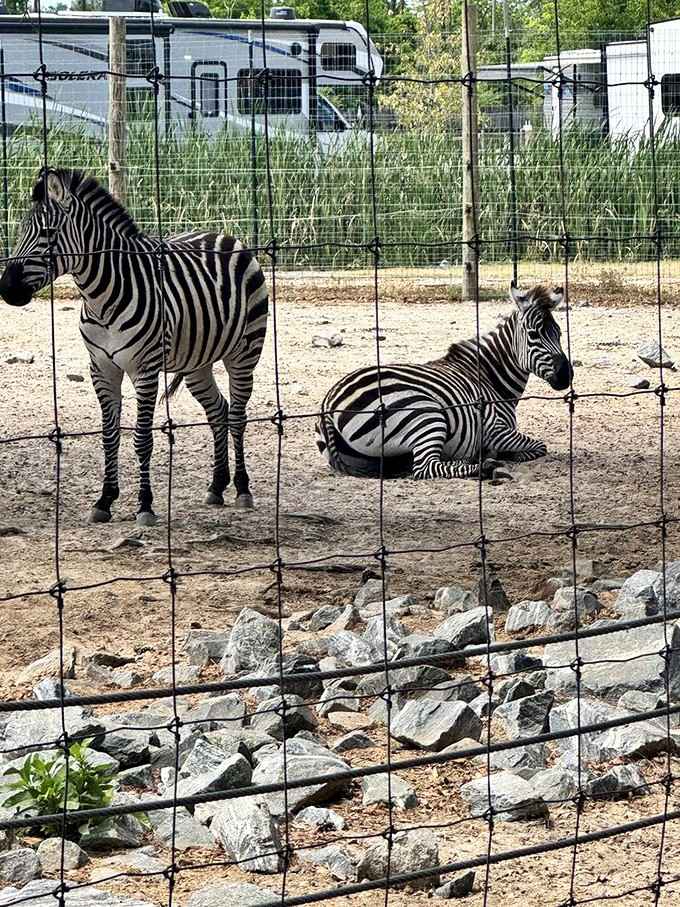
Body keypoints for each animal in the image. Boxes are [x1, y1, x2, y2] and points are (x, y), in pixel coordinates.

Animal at [0, 168, 269, 525]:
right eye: (21, 231)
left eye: (48, 233)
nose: (5, 289)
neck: (101, 300)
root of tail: (224, 236)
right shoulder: (101, 368)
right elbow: (109, 436)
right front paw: (104, 500)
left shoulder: (145, 369)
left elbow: (142, 438)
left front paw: (145, 505)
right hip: (197, 362)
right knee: (218, 411)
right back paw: (216, 485)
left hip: (245, 351)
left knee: (237, 415)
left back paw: (241, 488)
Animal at [315, 282, 572, 481]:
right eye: (534, 335)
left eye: (559, 333)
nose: (566, 376)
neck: (490, 378)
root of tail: (329, 402)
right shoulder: (495, 430)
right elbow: (538, 446)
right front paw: (498, 455)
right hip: (426, 415)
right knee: (425, 467)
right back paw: (484, 468)